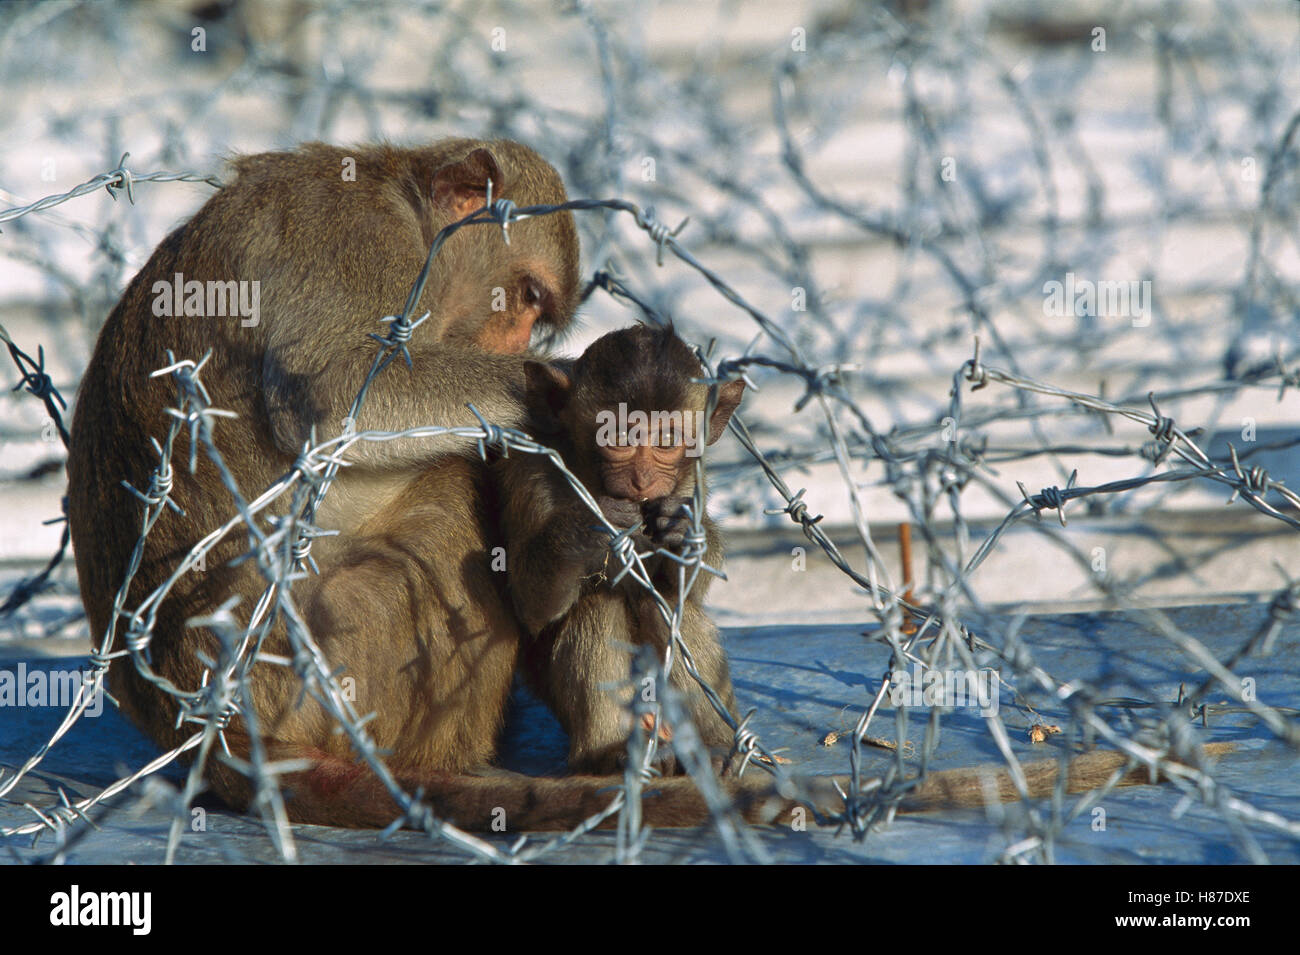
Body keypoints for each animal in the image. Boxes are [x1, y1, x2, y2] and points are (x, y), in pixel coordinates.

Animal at [494, 324, 744, 777]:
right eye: (618, 437)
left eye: (667, 439)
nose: (642, 479)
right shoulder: (528, 473)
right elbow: (530, 607)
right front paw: (589, 521)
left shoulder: (690, 481)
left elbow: (688, 588)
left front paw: (684, 532)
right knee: (596, 604)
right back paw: (608, 750)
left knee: (664, 600)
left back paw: (713, 747)